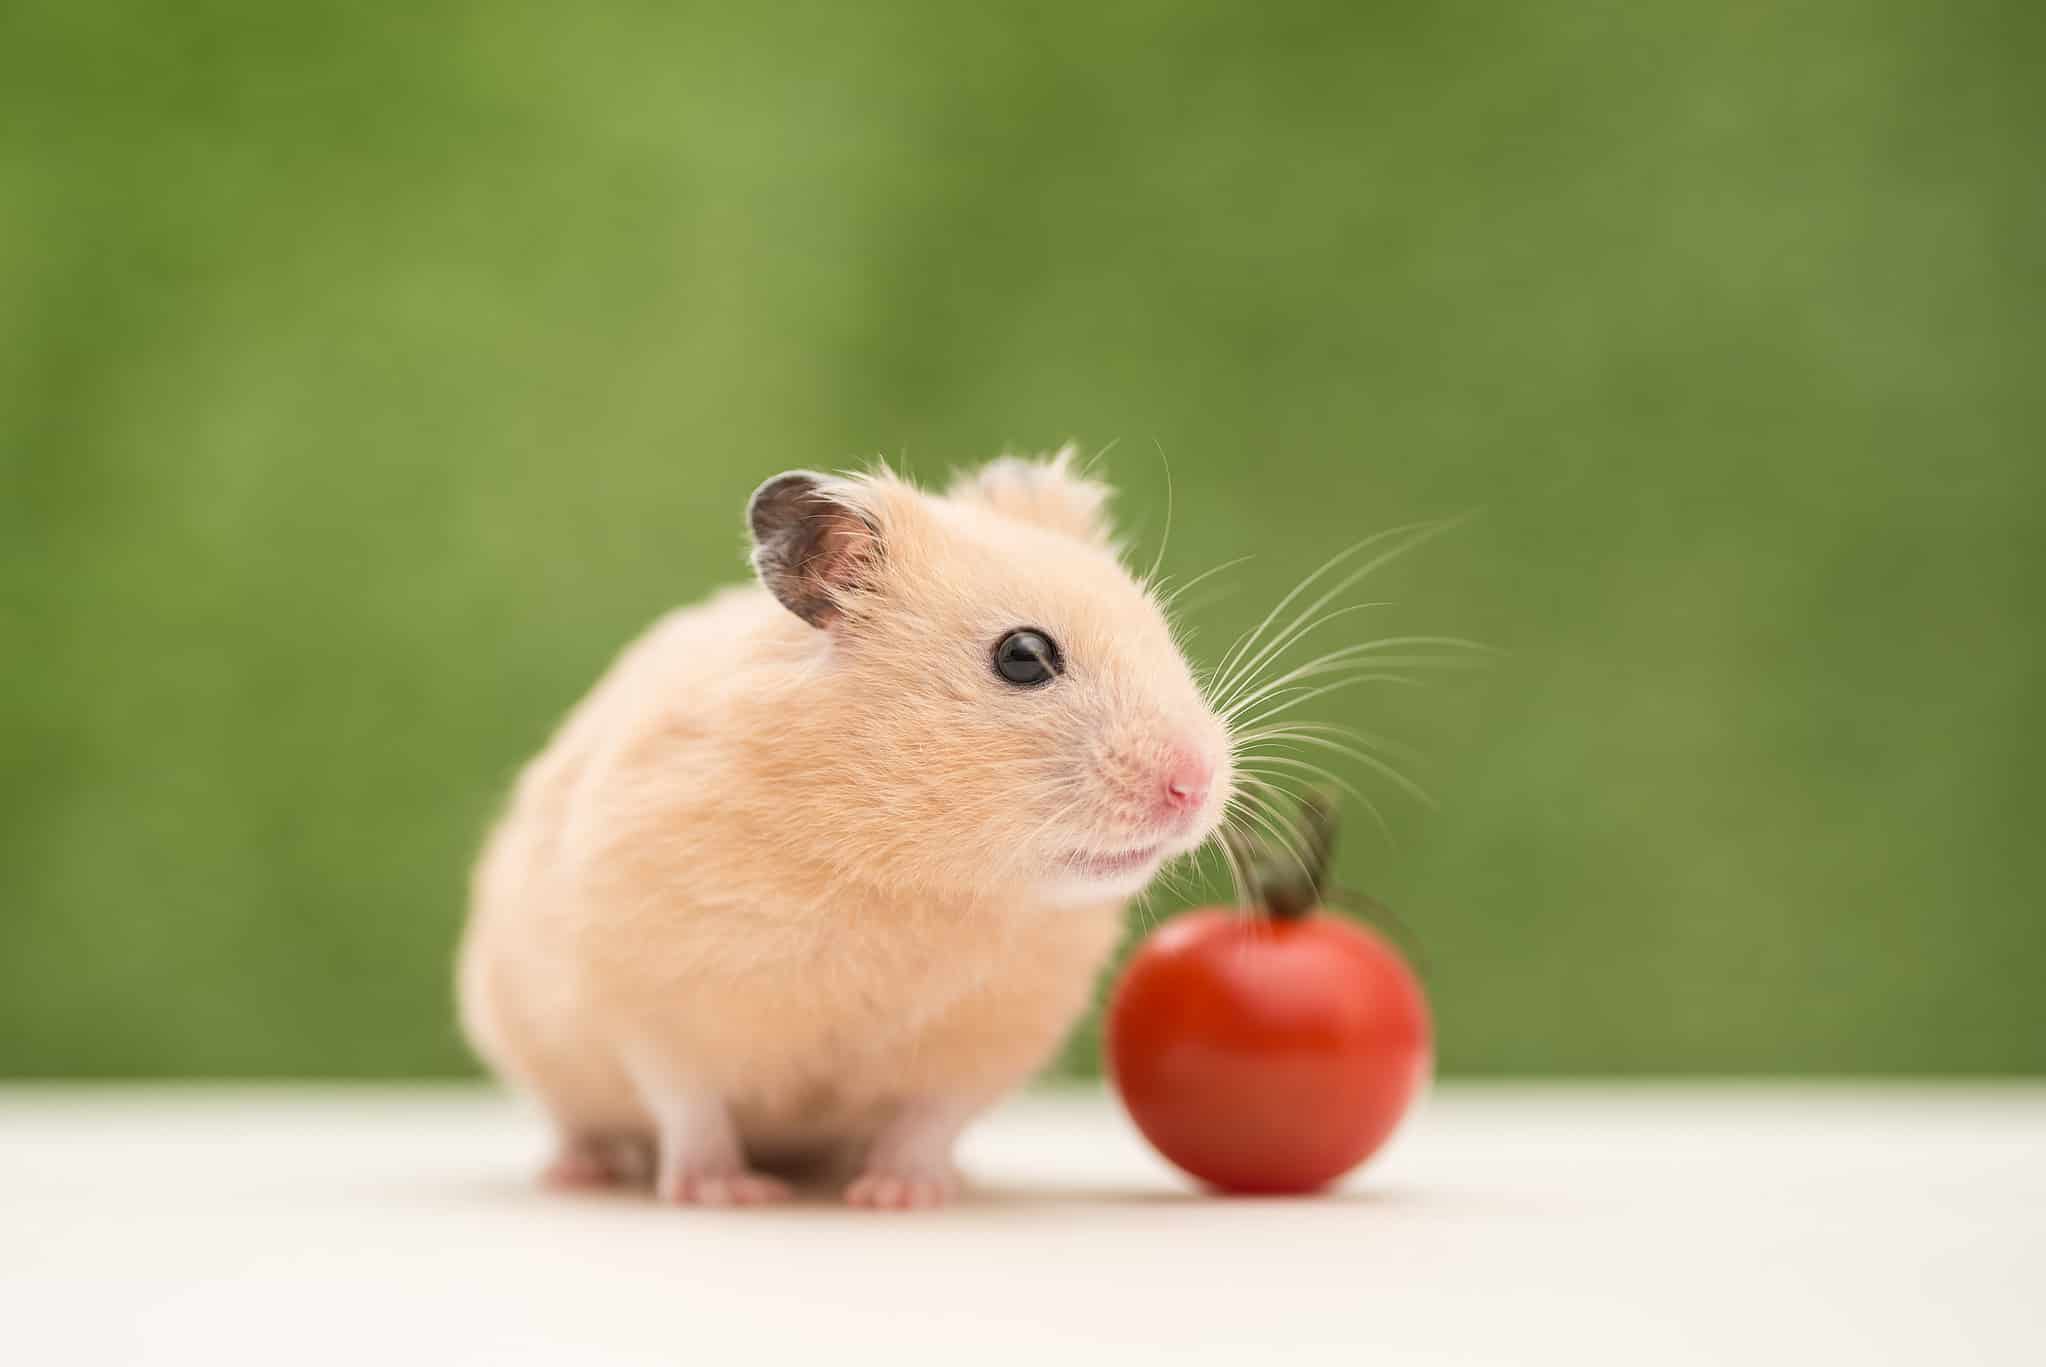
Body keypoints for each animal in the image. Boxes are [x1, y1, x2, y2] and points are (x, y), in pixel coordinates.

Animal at [457, 449, 1233, 1208]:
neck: (909, 867)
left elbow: (929, 1120)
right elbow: (690, 1104)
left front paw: (901, 1195)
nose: (1196, 786)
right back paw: (580, 1171)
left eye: (1159, 633)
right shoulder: (655, 995)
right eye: (1023, 655)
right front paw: (725, 1194)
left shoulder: (985, 1037)